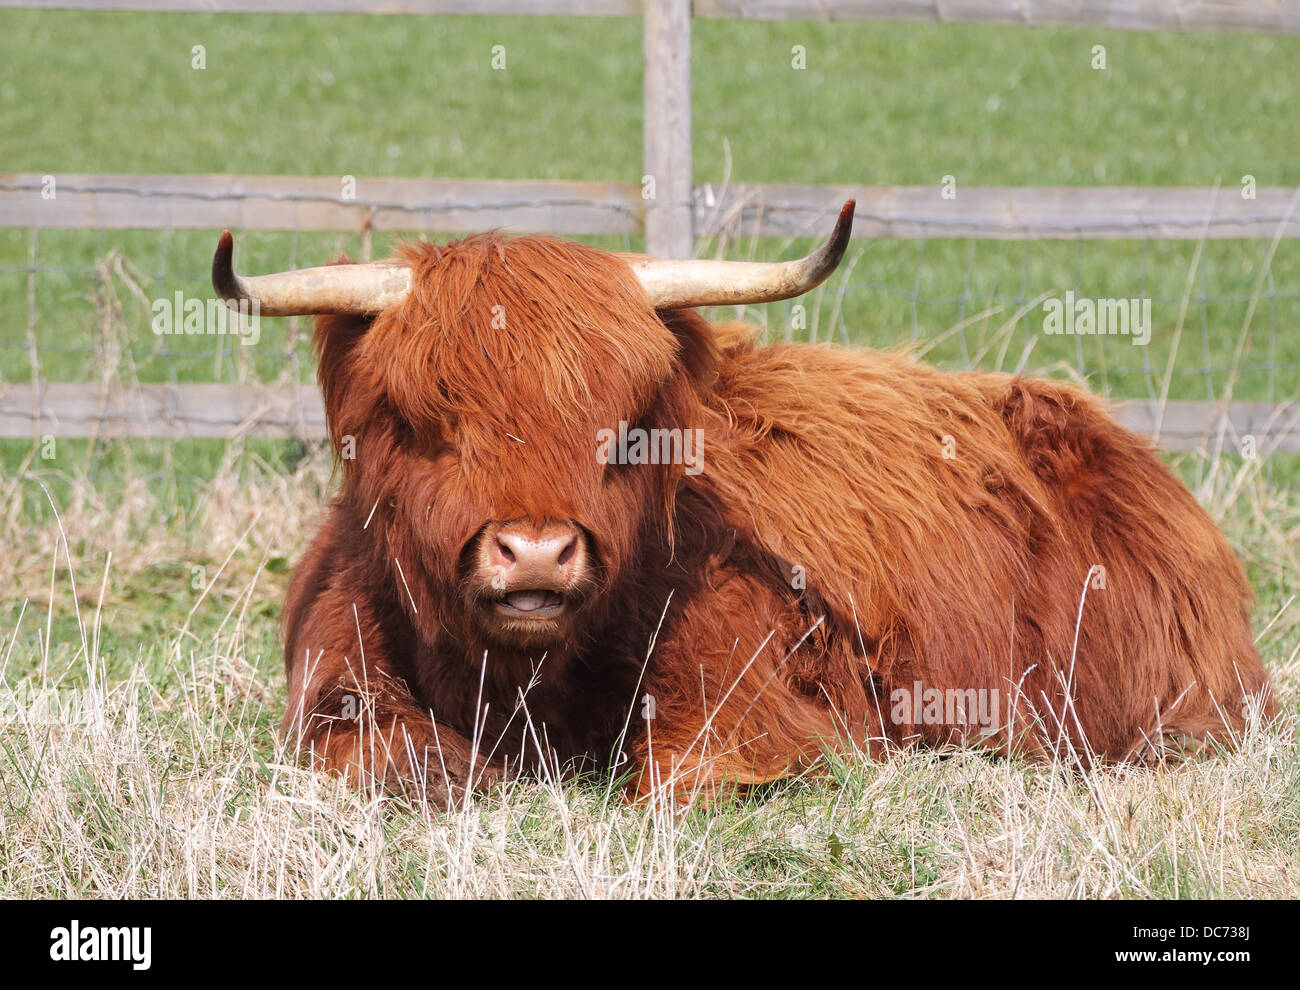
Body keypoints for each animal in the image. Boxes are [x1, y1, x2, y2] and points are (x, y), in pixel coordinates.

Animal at [212, 201, 1275, 806]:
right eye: (426, 420)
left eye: (628, 423)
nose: (537, 553)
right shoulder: (334, 680)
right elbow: (388, 758)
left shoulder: (760, 703)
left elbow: (681, 780)